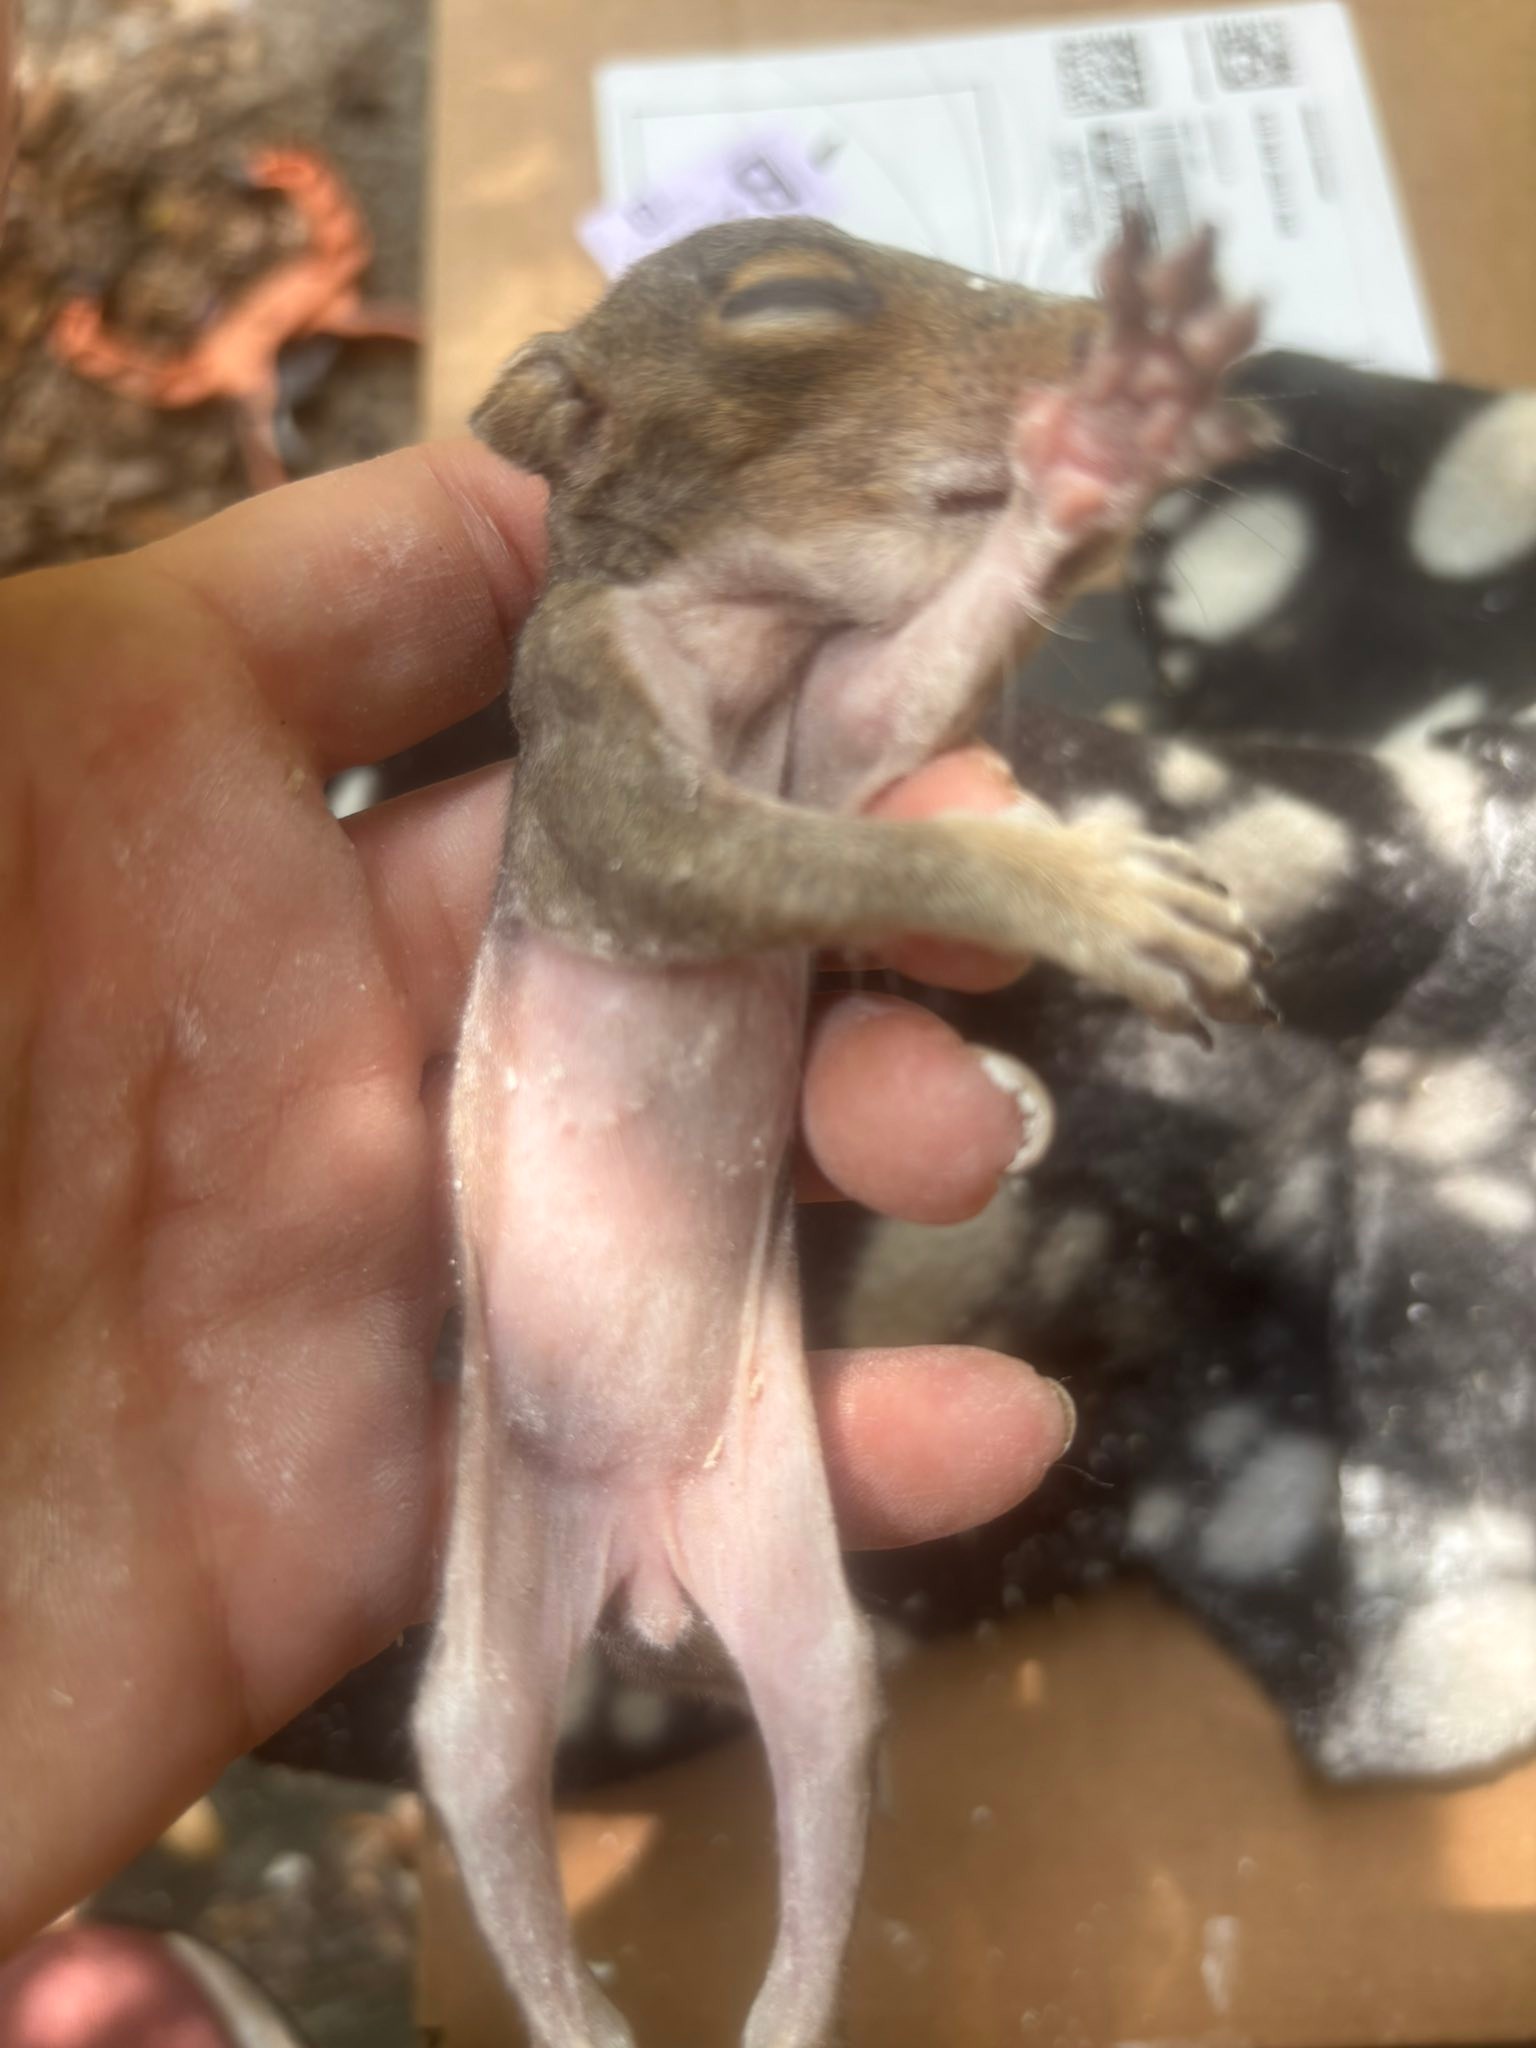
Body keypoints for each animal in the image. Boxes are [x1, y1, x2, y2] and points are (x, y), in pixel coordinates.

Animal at [415, 214, 1272, 2048]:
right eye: (792, 300)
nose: (1074, 346)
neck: (733, 632)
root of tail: (644, 1576)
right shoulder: (577, 718)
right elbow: (777, 853)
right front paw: (1074, 889)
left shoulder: (831, 721)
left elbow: (898, 719)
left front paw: (1112, 439)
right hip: (492, 1626)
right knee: (478, 1763)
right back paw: (579, 2012)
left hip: (803, 1615)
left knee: (818, 1762)